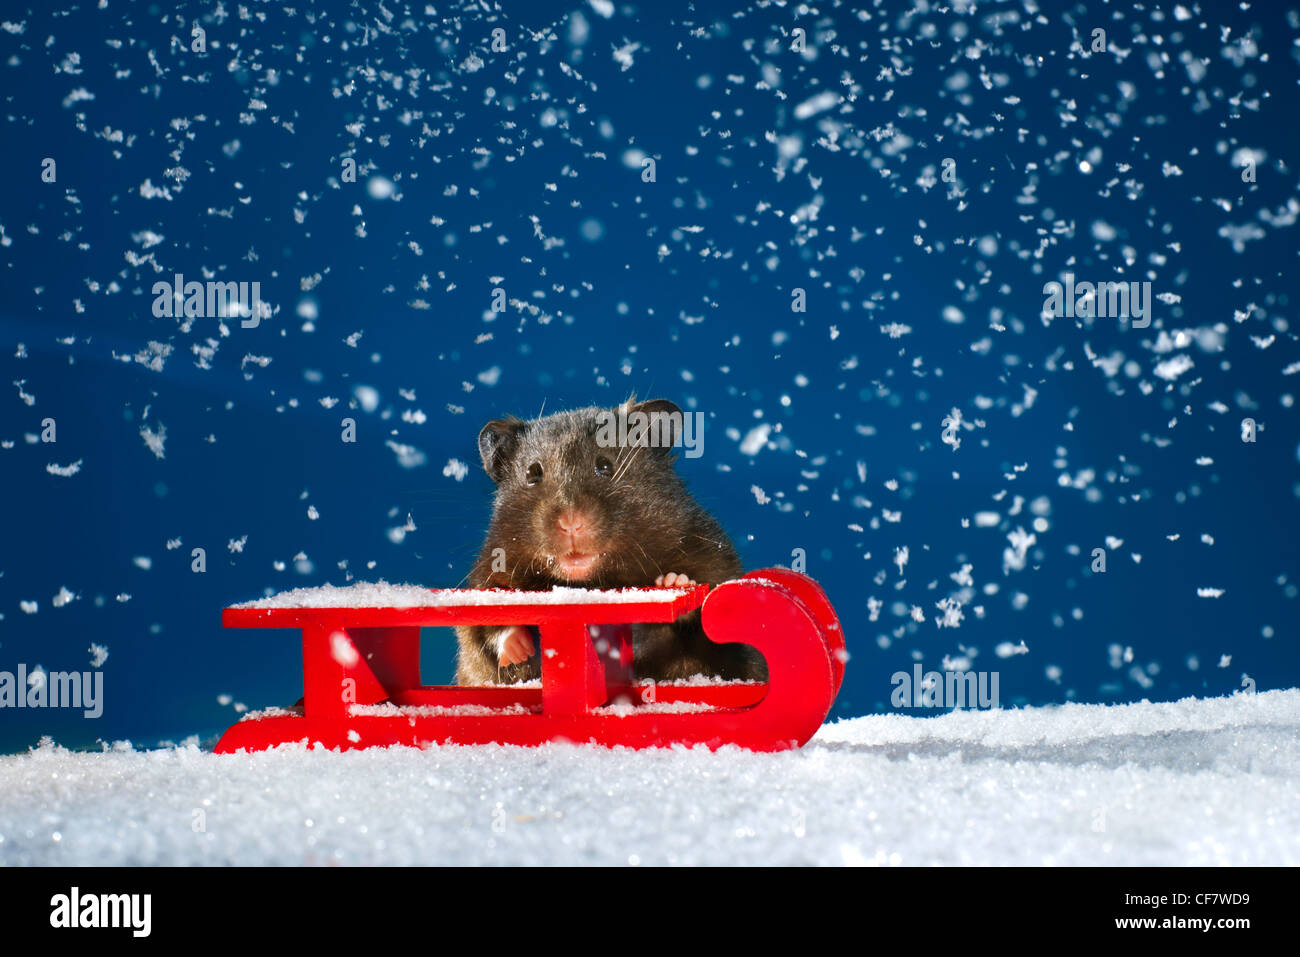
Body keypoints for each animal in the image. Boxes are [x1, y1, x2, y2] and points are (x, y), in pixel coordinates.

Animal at [454, 397, 767, 687]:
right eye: (533, 473)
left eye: (604, 466)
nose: (570, 522)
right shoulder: (489, 568)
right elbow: (488, 625)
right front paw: (521, 648)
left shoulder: (712, 554)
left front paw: (673, 580)